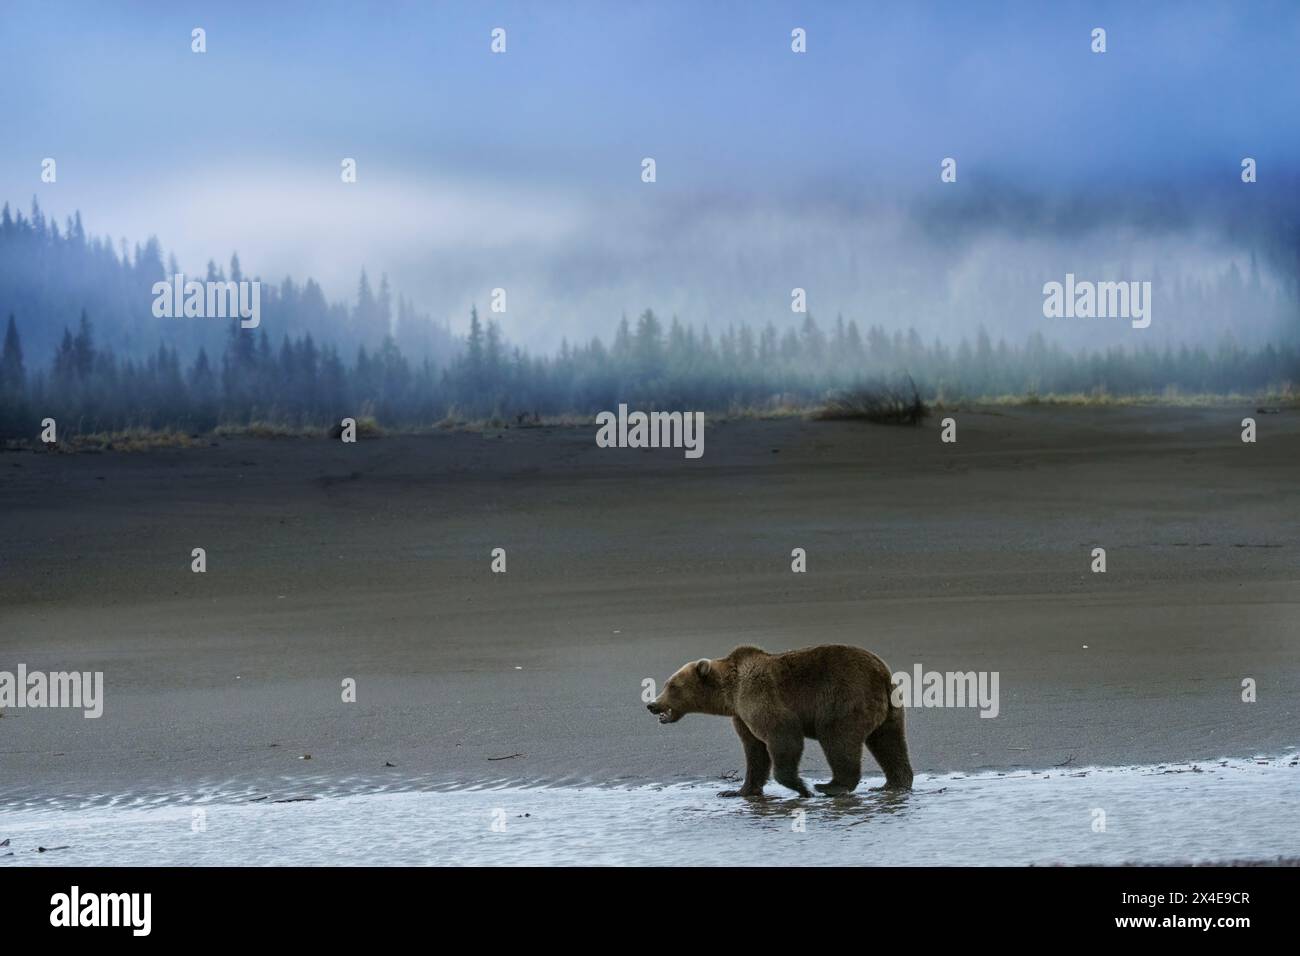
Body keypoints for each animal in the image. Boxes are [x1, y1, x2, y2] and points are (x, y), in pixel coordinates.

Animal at [646, 644, 913, 797]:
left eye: (672, 686)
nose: (652, 705)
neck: (730, 693)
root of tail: (880, 672)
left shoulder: (759, 696)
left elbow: (781, 736)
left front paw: (802, 787)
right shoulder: (741, 716)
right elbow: (754, 751)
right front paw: (737, 791)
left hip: (843, 697)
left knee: (838, 739)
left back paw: (831, 786)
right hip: (889, 709)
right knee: (889, 743)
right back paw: (893, 784)